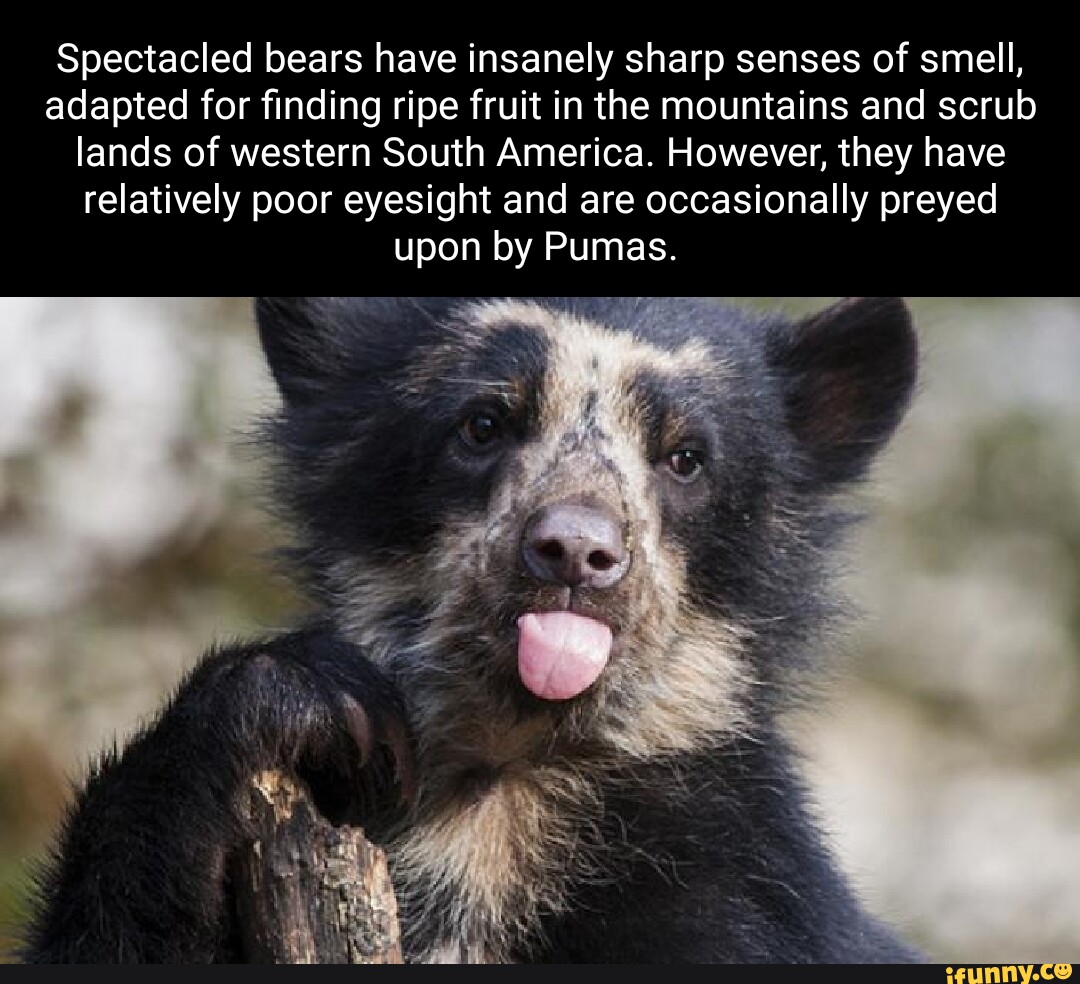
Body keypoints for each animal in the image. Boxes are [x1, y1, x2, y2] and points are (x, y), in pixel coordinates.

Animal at [22, 296, 921, 963]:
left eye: (687, 457)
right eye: (483, 424)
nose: (575, 552)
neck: (501, 792)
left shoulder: (732, 890)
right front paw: (308, 699)